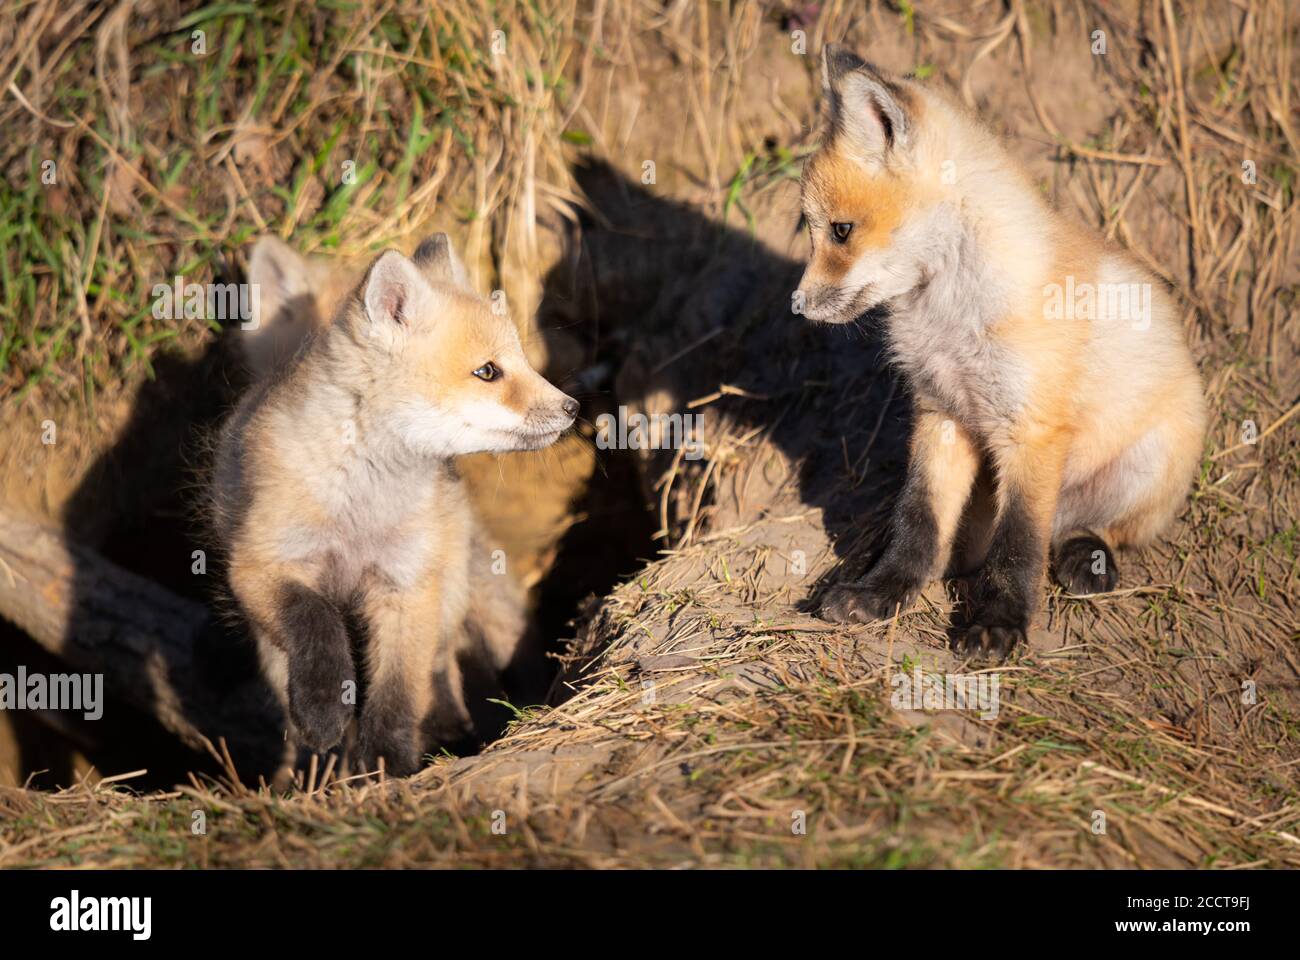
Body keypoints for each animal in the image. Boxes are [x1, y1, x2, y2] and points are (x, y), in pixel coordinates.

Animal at [211, 234, 577, 774]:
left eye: (522, 360)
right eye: (487, 371)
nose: (573, 408)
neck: (360, 511)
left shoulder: (407, 583)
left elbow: (399, 691)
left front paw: (388, 764)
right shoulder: (260, 563)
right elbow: (314, 618)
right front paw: (324, 709)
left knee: (445, 666)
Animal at [799, 46, 1207, 659]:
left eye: (841, 231)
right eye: (815, 230)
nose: (797, 305)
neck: (948, 314)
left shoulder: (1032, 431)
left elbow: (1019, 546)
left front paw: (1000, 624)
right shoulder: (940, 413)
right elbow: (917, 520)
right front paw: (883, 593)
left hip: (1153, 462)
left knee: (1083, 531)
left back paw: (1087, 555)